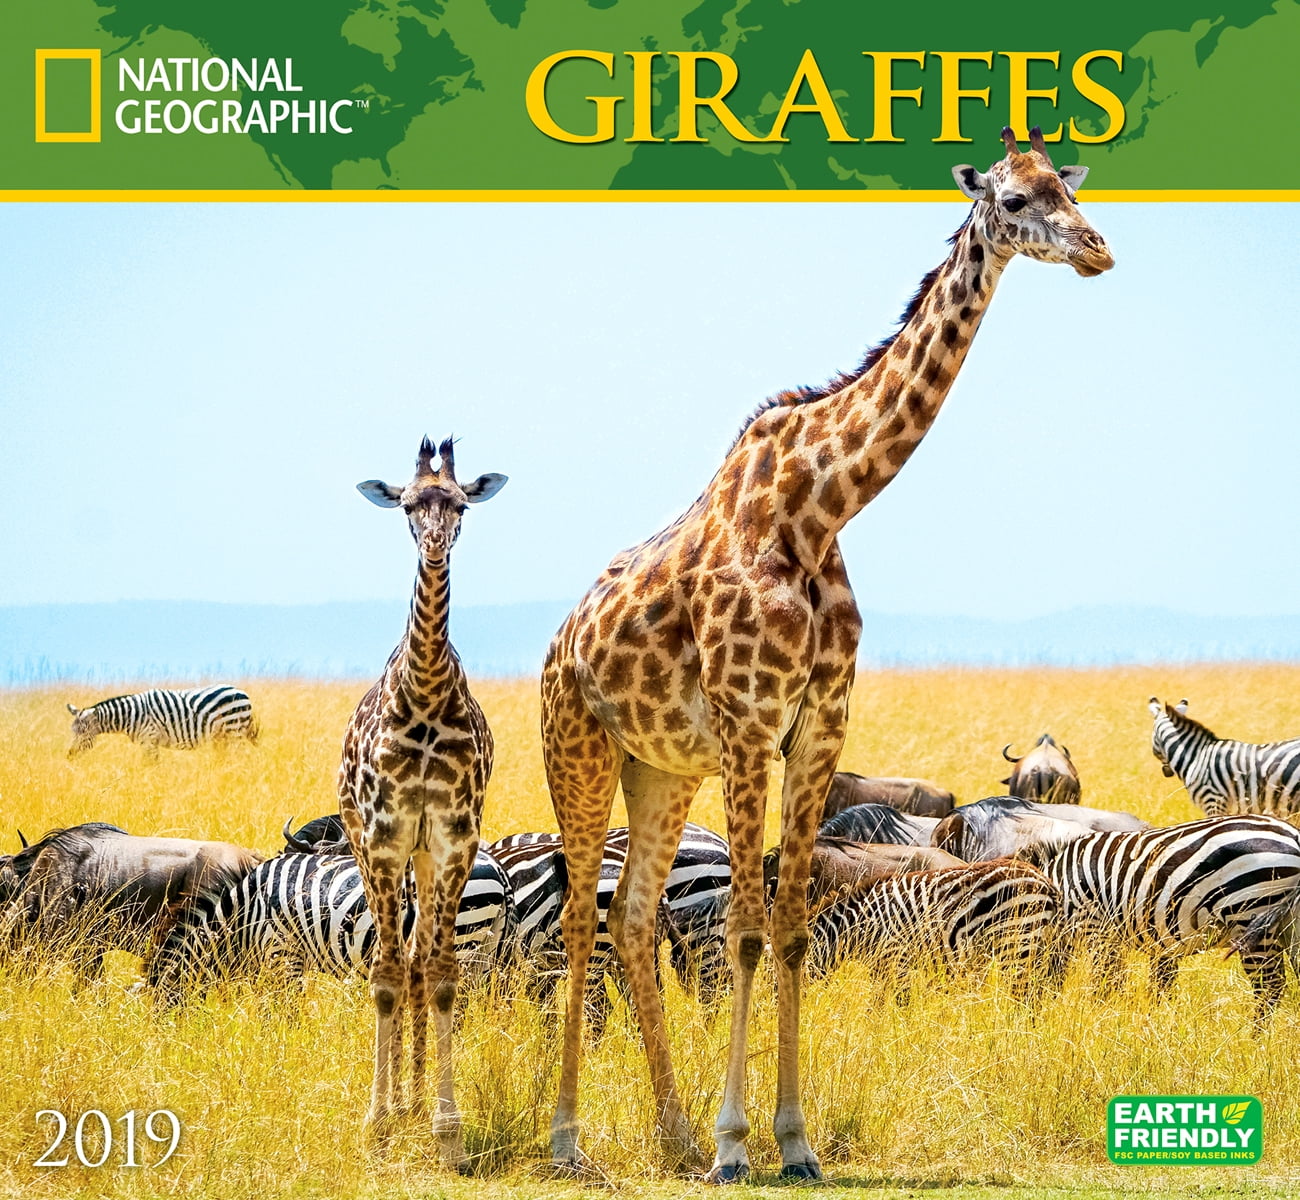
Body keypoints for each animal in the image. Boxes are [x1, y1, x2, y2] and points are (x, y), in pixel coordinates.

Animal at [541, 127, 1113, 1182]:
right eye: (1014, 199)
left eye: (1068, 184)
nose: (1098, 248)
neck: (820, 506)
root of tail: (561, 645)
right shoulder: (747, 722)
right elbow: (742, 929)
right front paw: (737, 1147)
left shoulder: (818, 725)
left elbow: (794, 929)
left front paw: (793, 1143)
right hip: (581, 749)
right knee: (578, 917)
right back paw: (570, 1140)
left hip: (661, 770)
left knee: (632, 917)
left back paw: (672, 1134)